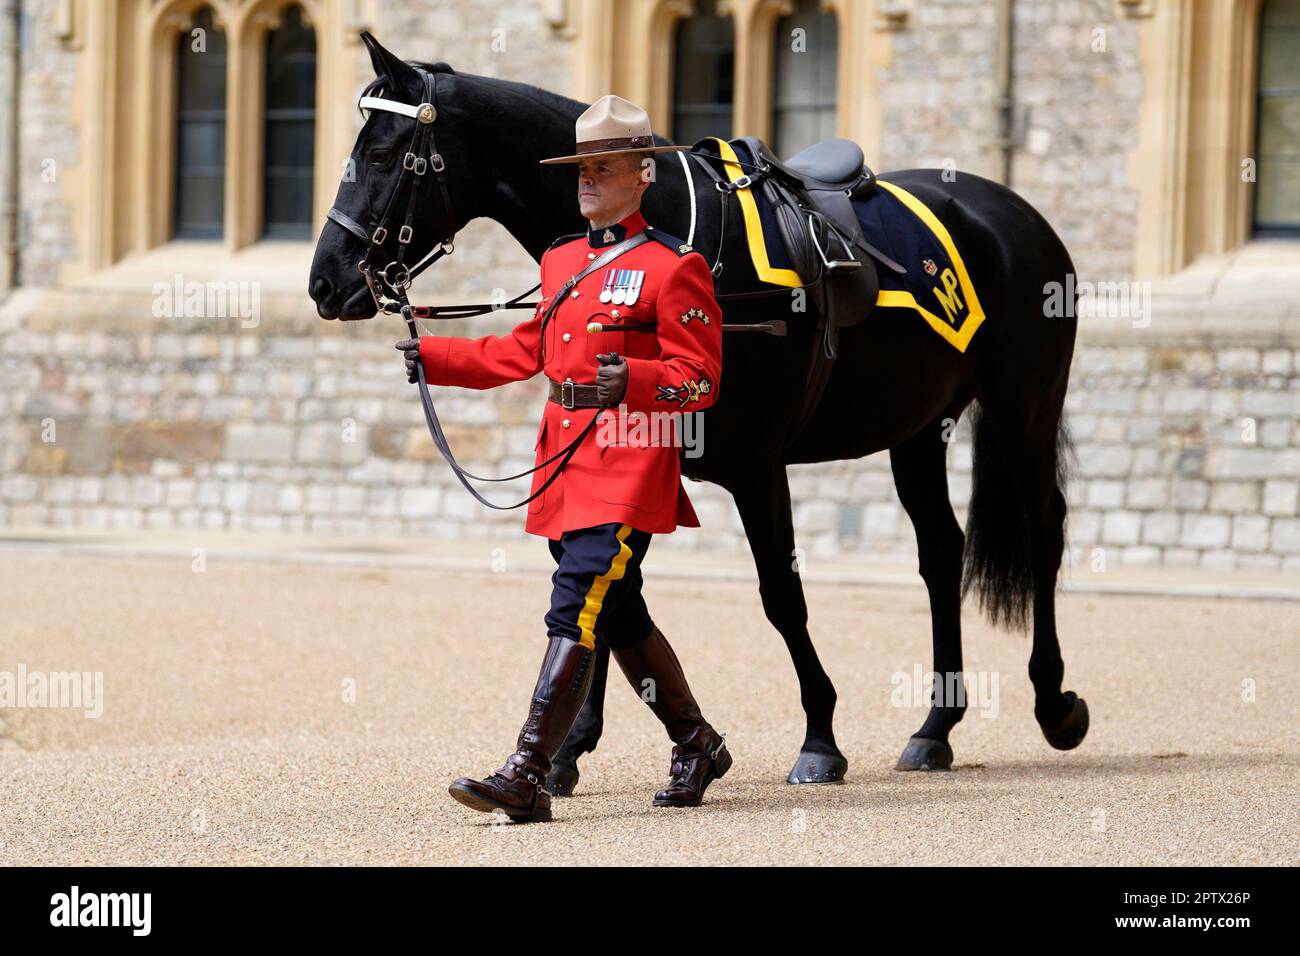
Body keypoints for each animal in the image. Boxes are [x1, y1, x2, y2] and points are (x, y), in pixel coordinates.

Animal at [308, 34, 1090, 790]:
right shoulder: (647, 466)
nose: (325, 282)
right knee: (941, 551)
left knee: (1043, 528)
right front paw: (568, 752)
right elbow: (612, 596)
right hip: (919, 428)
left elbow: (780, 594)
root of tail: (1012, 213)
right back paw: (935, 727)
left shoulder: (757, 466)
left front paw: (819, 738)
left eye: (380, 155)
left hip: (1022, 409)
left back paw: (1053, 702)